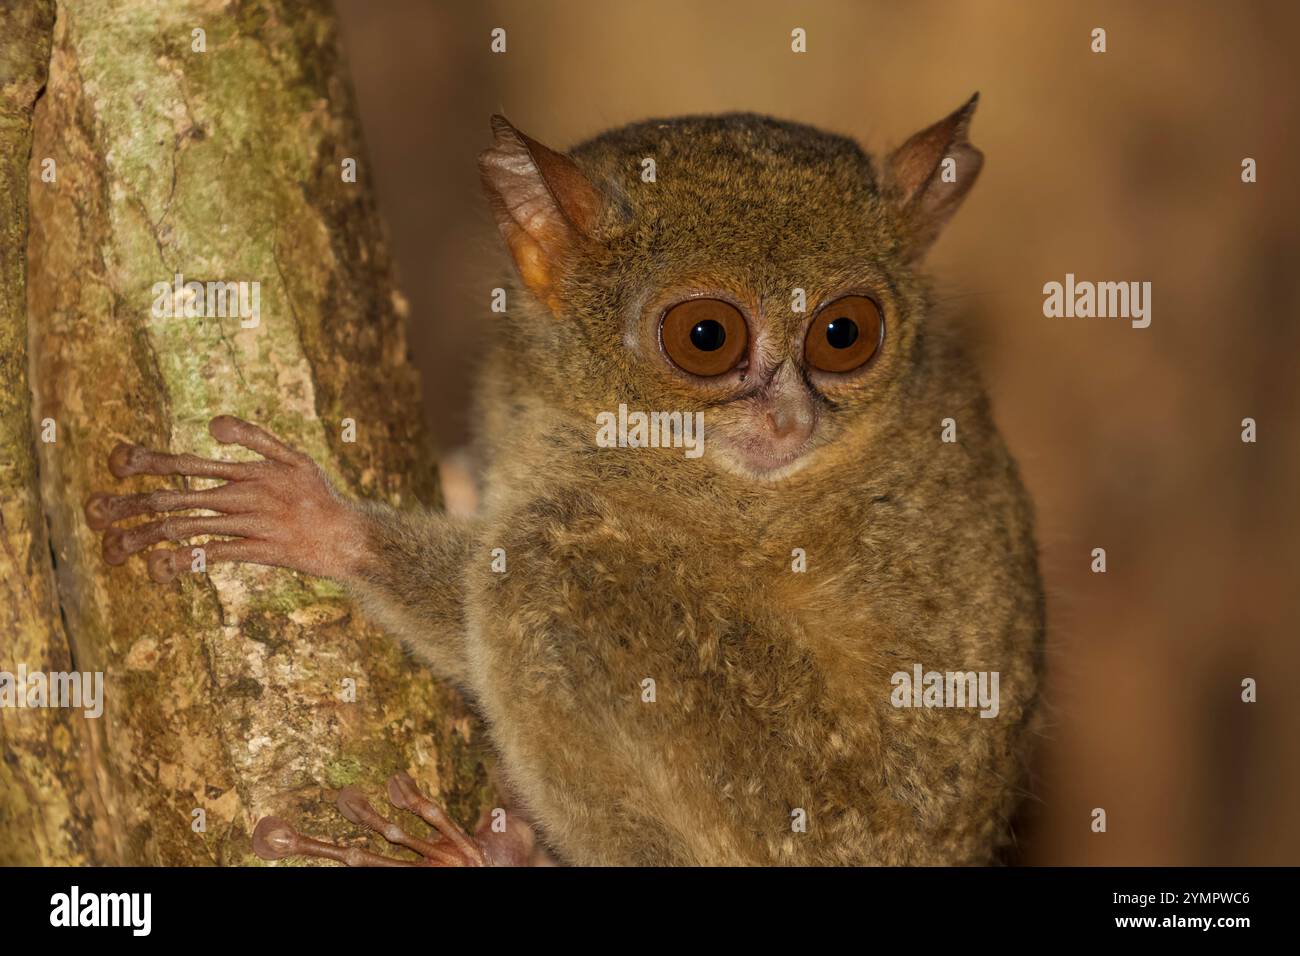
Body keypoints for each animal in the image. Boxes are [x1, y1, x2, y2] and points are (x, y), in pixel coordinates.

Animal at [84, 94, 1045, 866]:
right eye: (708, 338)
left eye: (844, 334)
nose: (790, 423)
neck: (580, 407)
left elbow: (486, 585)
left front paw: (316, 523)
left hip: (803, 808)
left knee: (549, 556)